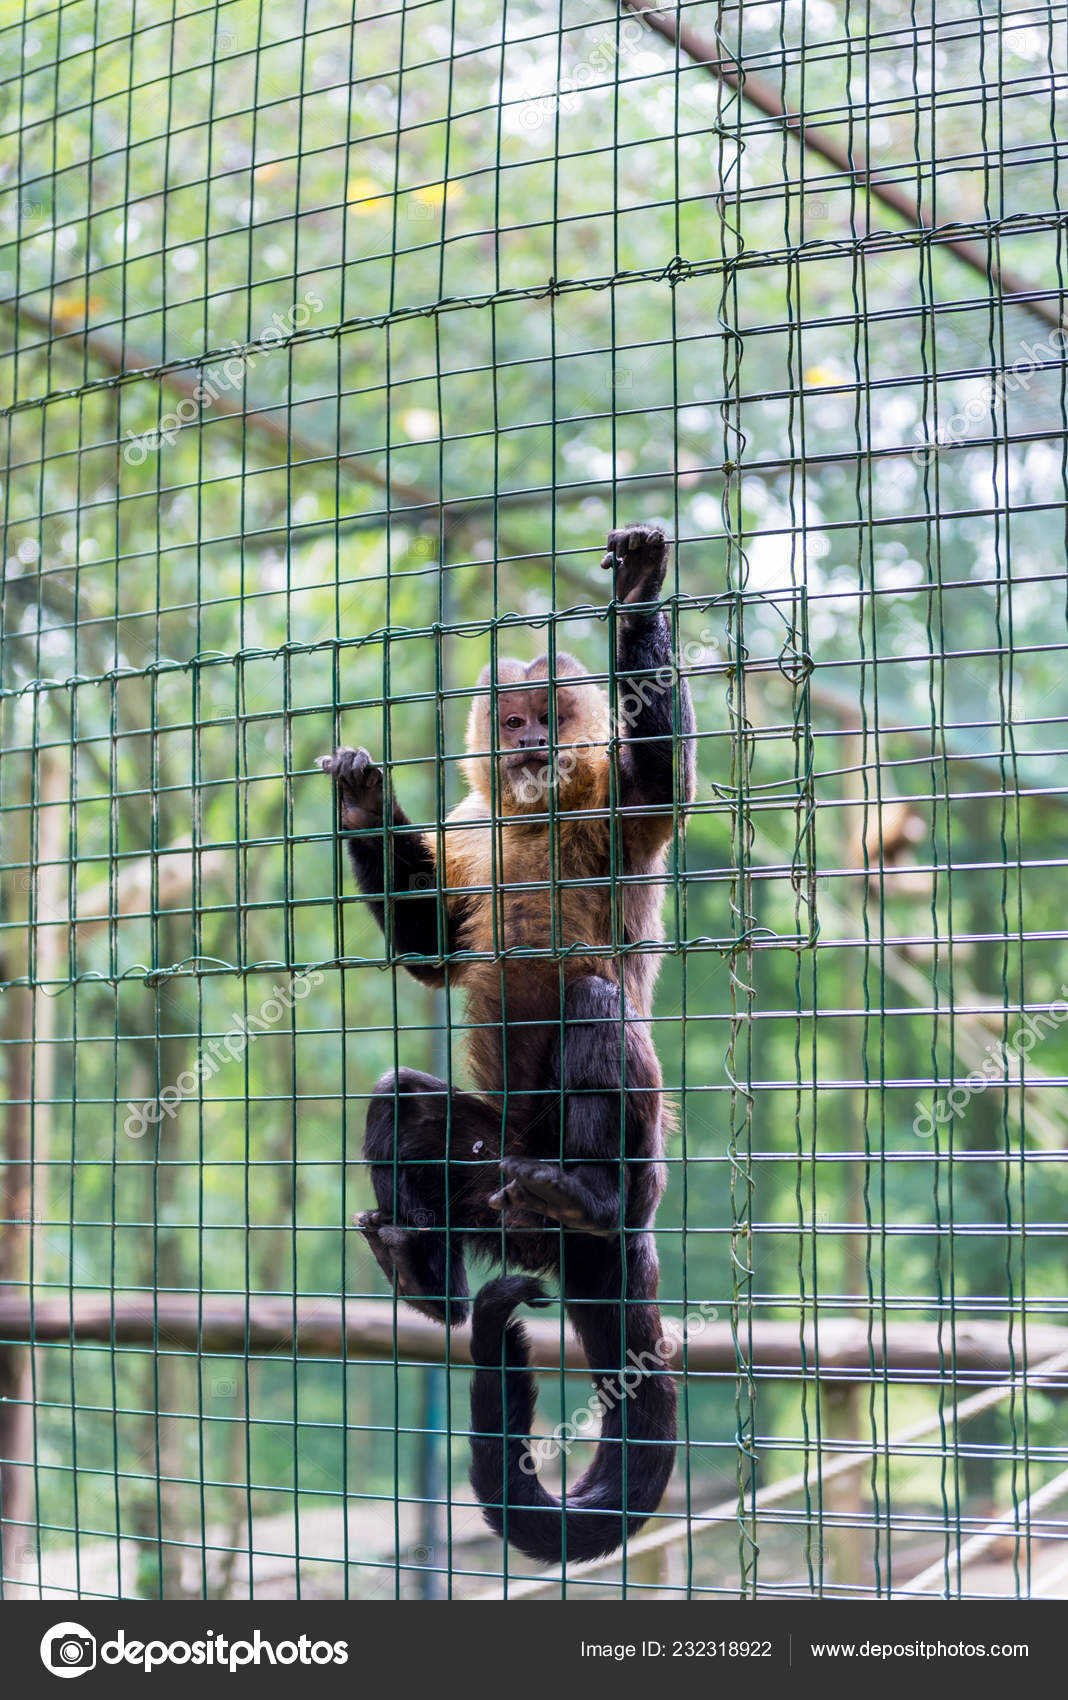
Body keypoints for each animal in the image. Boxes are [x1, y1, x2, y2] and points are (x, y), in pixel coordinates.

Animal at [319, 523, 696, 1565]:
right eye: (514, 717)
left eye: (548, 716)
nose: (528, 740)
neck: (532, 813)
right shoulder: (466, 828)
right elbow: (431, 952)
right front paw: (362, 803)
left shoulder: (609, 800)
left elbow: (659, 785)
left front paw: (639, 597)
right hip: (493, 1182)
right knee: (404, 1102)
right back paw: (425, 1278)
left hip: (641, 1168)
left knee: (598, 1007)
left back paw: (590, 1196)